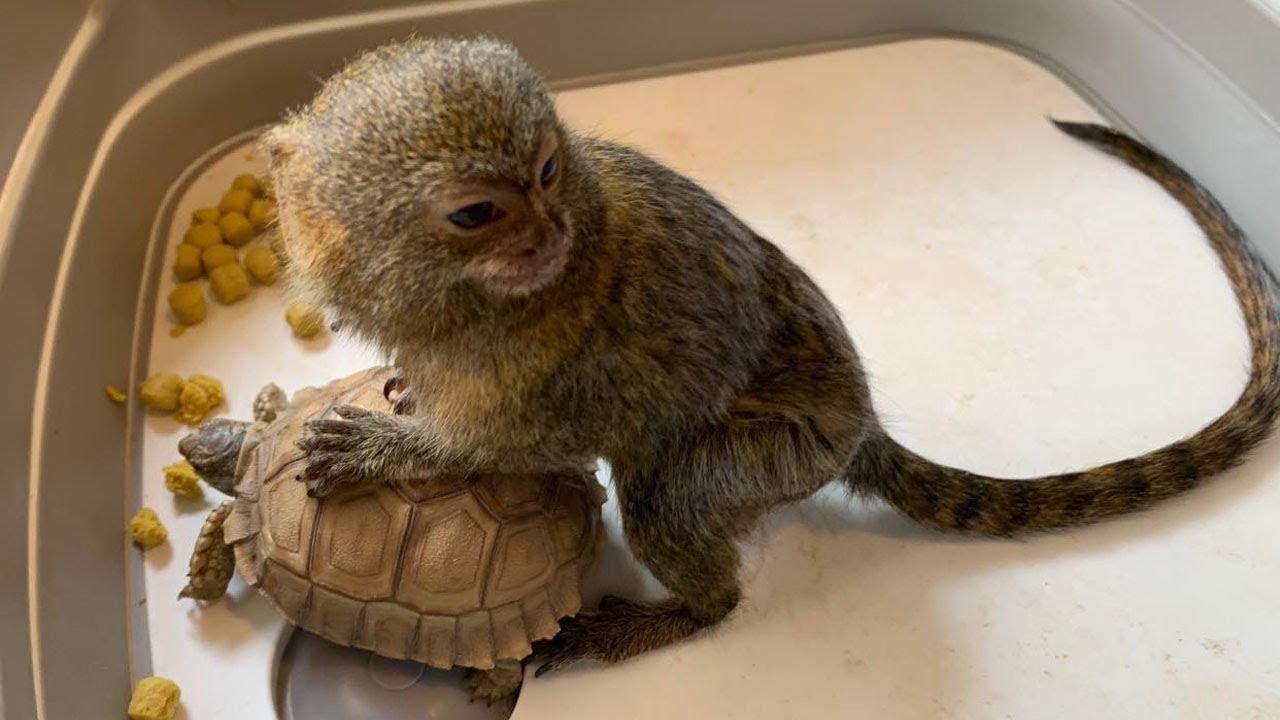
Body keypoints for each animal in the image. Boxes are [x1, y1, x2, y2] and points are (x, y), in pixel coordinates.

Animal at [261, 36, 1280, 679]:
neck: (477, 301)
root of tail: (858, 423)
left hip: (784, 454)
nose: (547, 233)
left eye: (548, 175)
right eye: (479, 212)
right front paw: (402, 398)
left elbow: (510, 449)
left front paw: (393, 453)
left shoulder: (545, 370)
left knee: (669, 497)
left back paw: (674, 616)